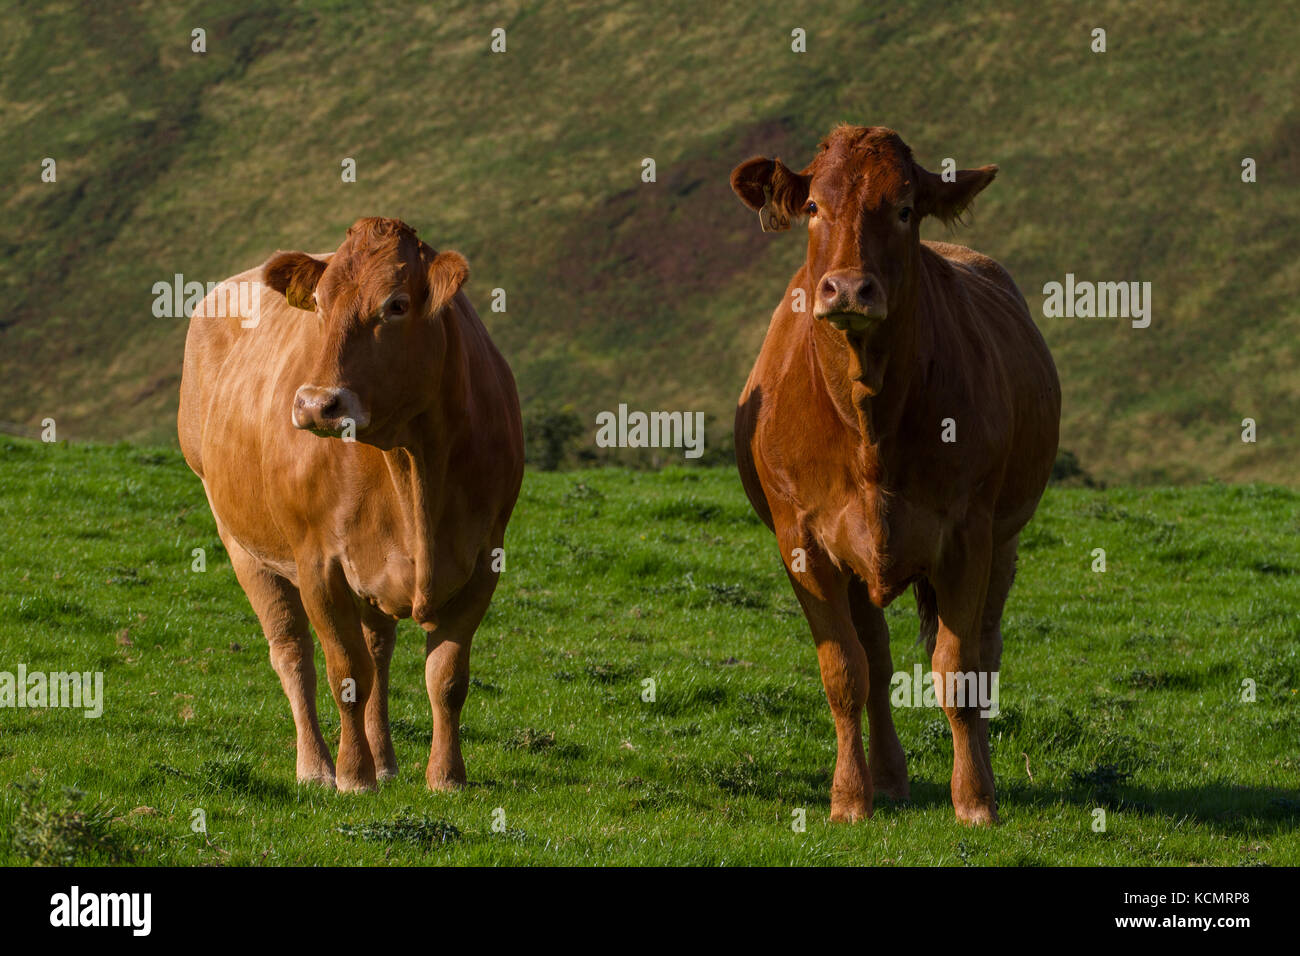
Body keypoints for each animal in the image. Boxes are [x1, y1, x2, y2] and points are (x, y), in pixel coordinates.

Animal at [178, 216, 523, 793]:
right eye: (318, 304)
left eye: (396, 305)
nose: (316, 404)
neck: (412, 465)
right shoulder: (319, 563)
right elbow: (346, 673)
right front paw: (353, 775)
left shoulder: (483, 560)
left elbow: (446, 677)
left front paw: (445, 776)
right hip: (242, 543)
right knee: (293, 652)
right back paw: (317, 766)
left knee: (379, 650)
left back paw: (385, 760)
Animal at [729, 126, 1060, 825]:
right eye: (813, 207)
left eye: (905, 209)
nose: (848, 290)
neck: (868, 417)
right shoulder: (804, 540)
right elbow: (846, 671)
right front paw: (849, 798)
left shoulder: (968, 535)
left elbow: (958, 671)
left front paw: (975, 800)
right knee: (877, 660)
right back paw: (885, 776)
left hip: (1006, 540)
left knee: (985, 651)